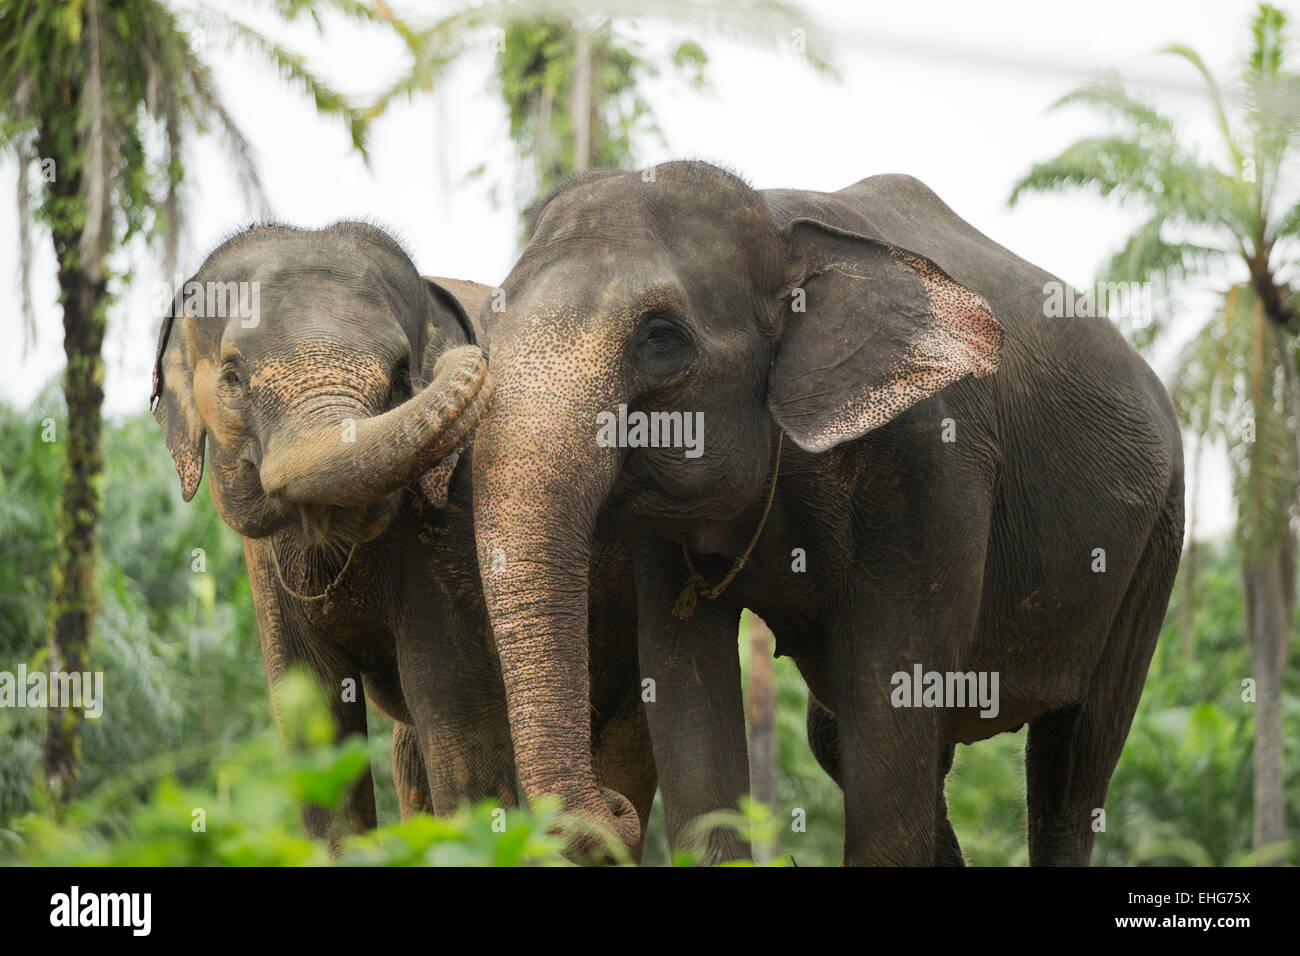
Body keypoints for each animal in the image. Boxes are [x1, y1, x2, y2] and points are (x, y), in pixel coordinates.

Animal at [150, 221, 655, 856]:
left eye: (399, 373)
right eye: (233, 375)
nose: (480, 354)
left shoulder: (454, 521)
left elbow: (457, 710)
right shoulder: (264, 567)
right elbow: (311, 714)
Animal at [470, 160, 1185, 866]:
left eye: (662, 338)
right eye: (487, 335)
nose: (614, 808)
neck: (779, 223)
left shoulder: (930, 462)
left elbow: (893, 694)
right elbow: (684, 688)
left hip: (1157, 544)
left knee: (1073, 766)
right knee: (848, 741)